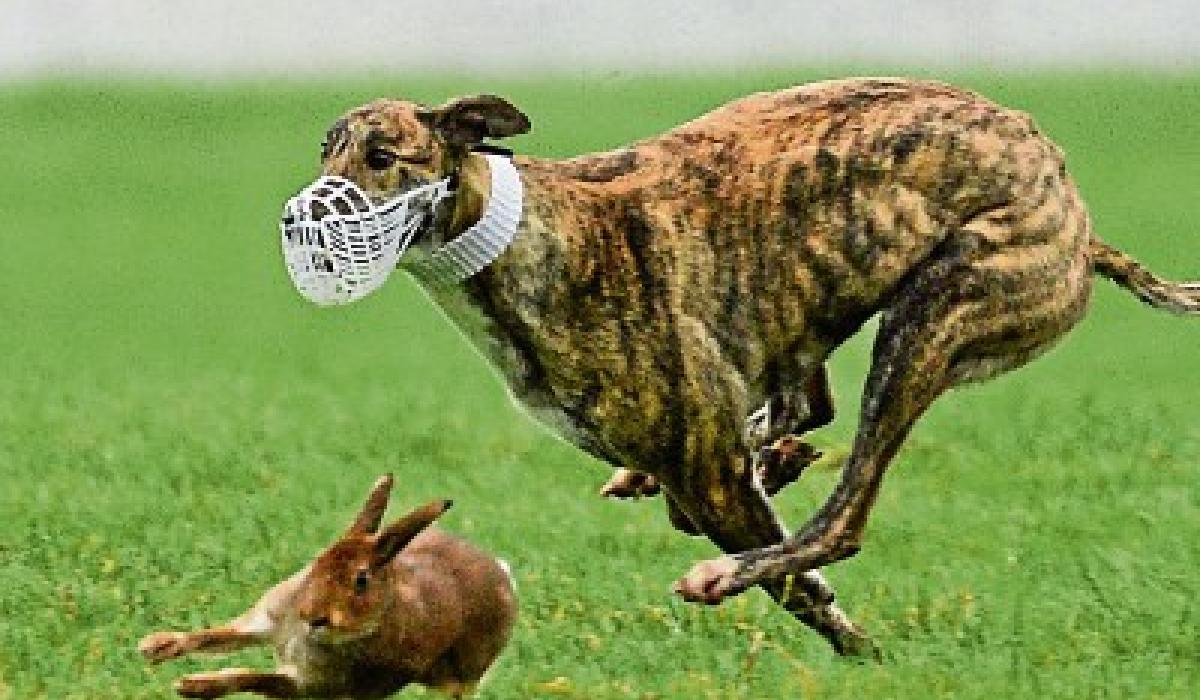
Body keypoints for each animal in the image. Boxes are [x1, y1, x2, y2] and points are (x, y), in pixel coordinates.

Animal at [138, 475, 517, 699]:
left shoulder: (311, 685)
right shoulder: (267, 621)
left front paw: (192, 686)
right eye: (318, 561)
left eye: (361, 581)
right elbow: (216, 635)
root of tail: (502, 573)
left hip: (458, 678)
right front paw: (154, 646)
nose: (312, 616)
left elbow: (257, 677)